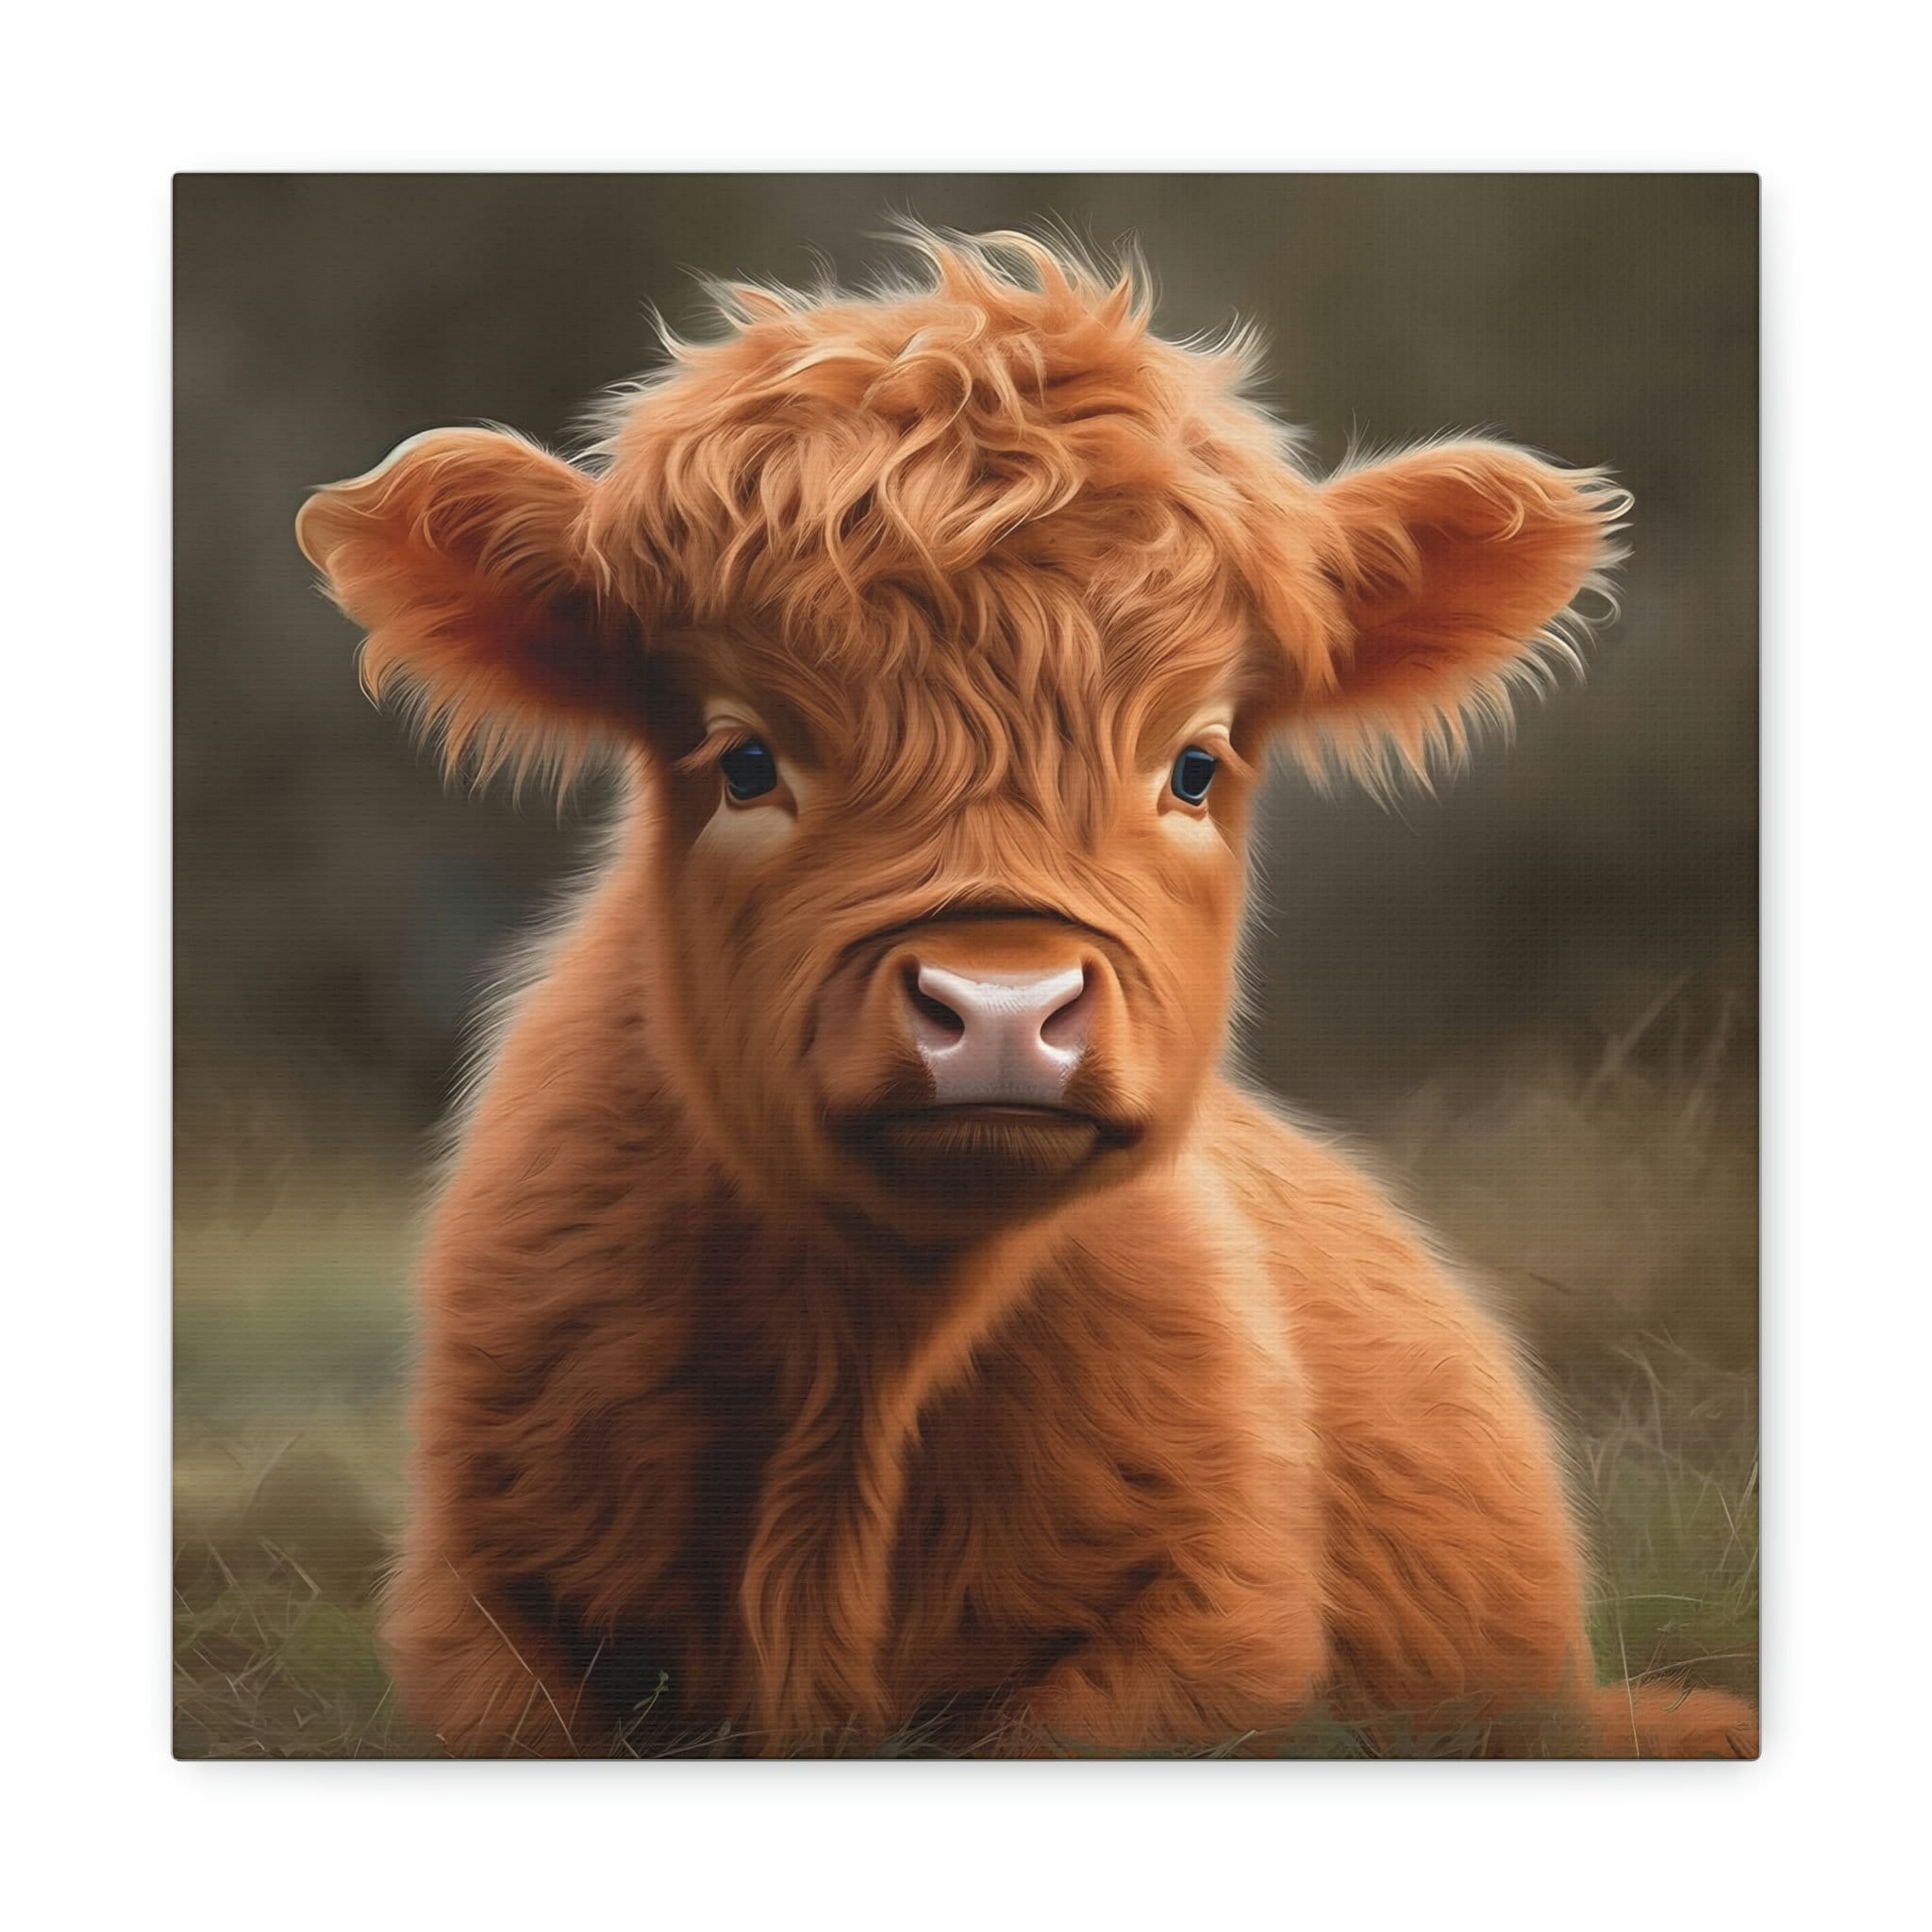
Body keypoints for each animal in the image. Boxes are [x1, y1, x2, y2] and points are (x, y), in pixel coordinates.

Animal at [296, 226, 1757, 1757]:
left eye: (1194, 763)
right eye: (744, 760)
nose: (999, 1011)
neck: (864, 1367)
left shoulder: (1217, 1618)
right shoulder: (475, 1601)